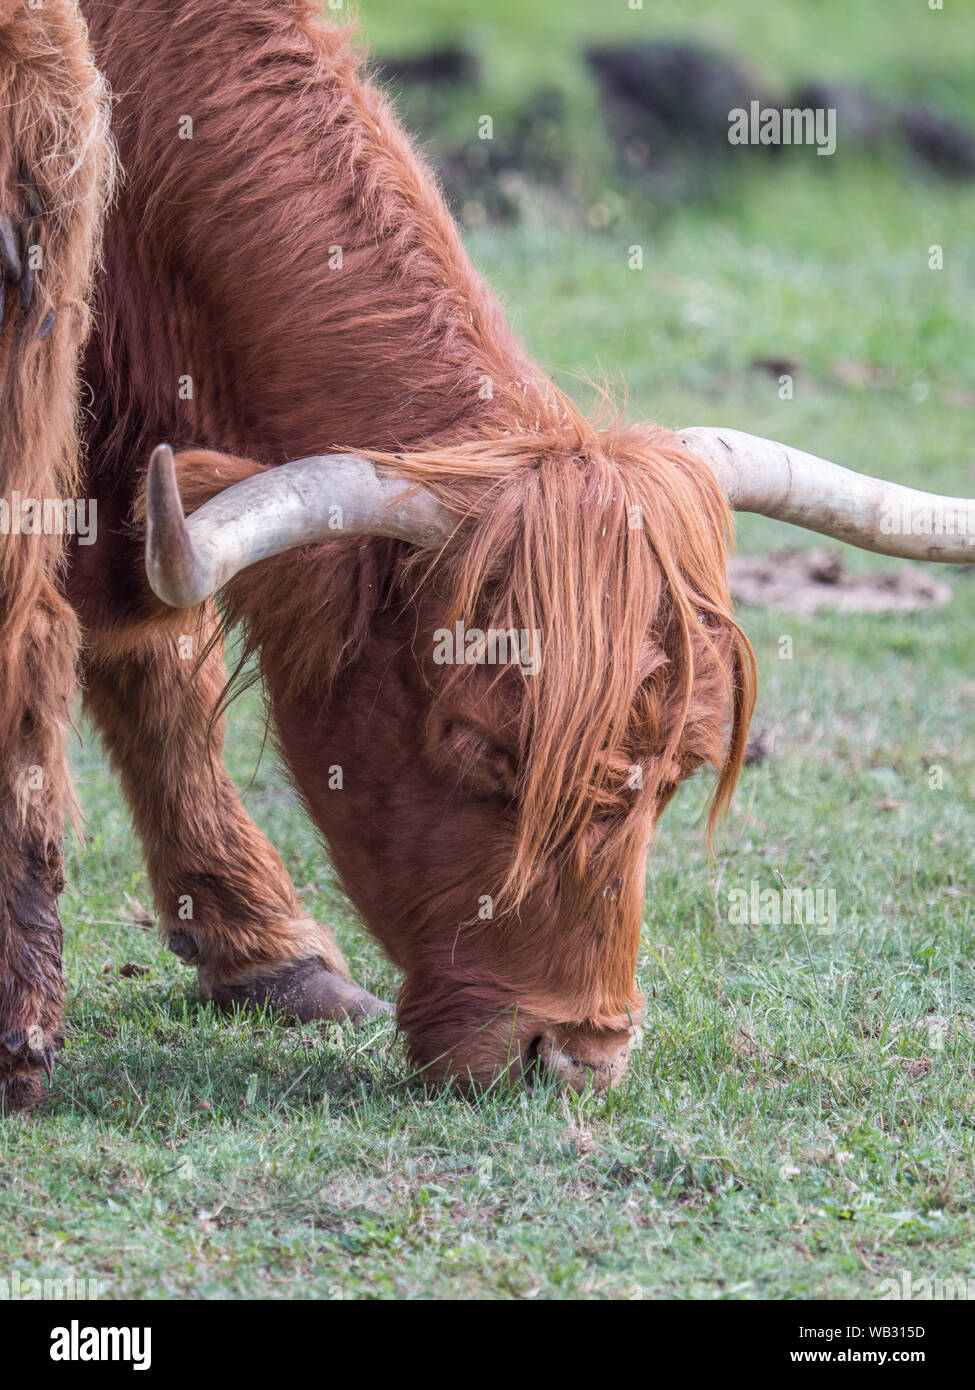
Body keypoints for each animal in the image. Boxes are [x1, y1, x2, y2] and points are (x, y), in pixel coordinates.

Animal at [1, 0, 972, 1112]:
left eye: (678, 770)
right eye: (481, 748)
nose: (575, 1055)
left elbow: (156, 658)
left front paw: (266, 948)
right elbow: (38, 638)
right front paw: (24, 1019)